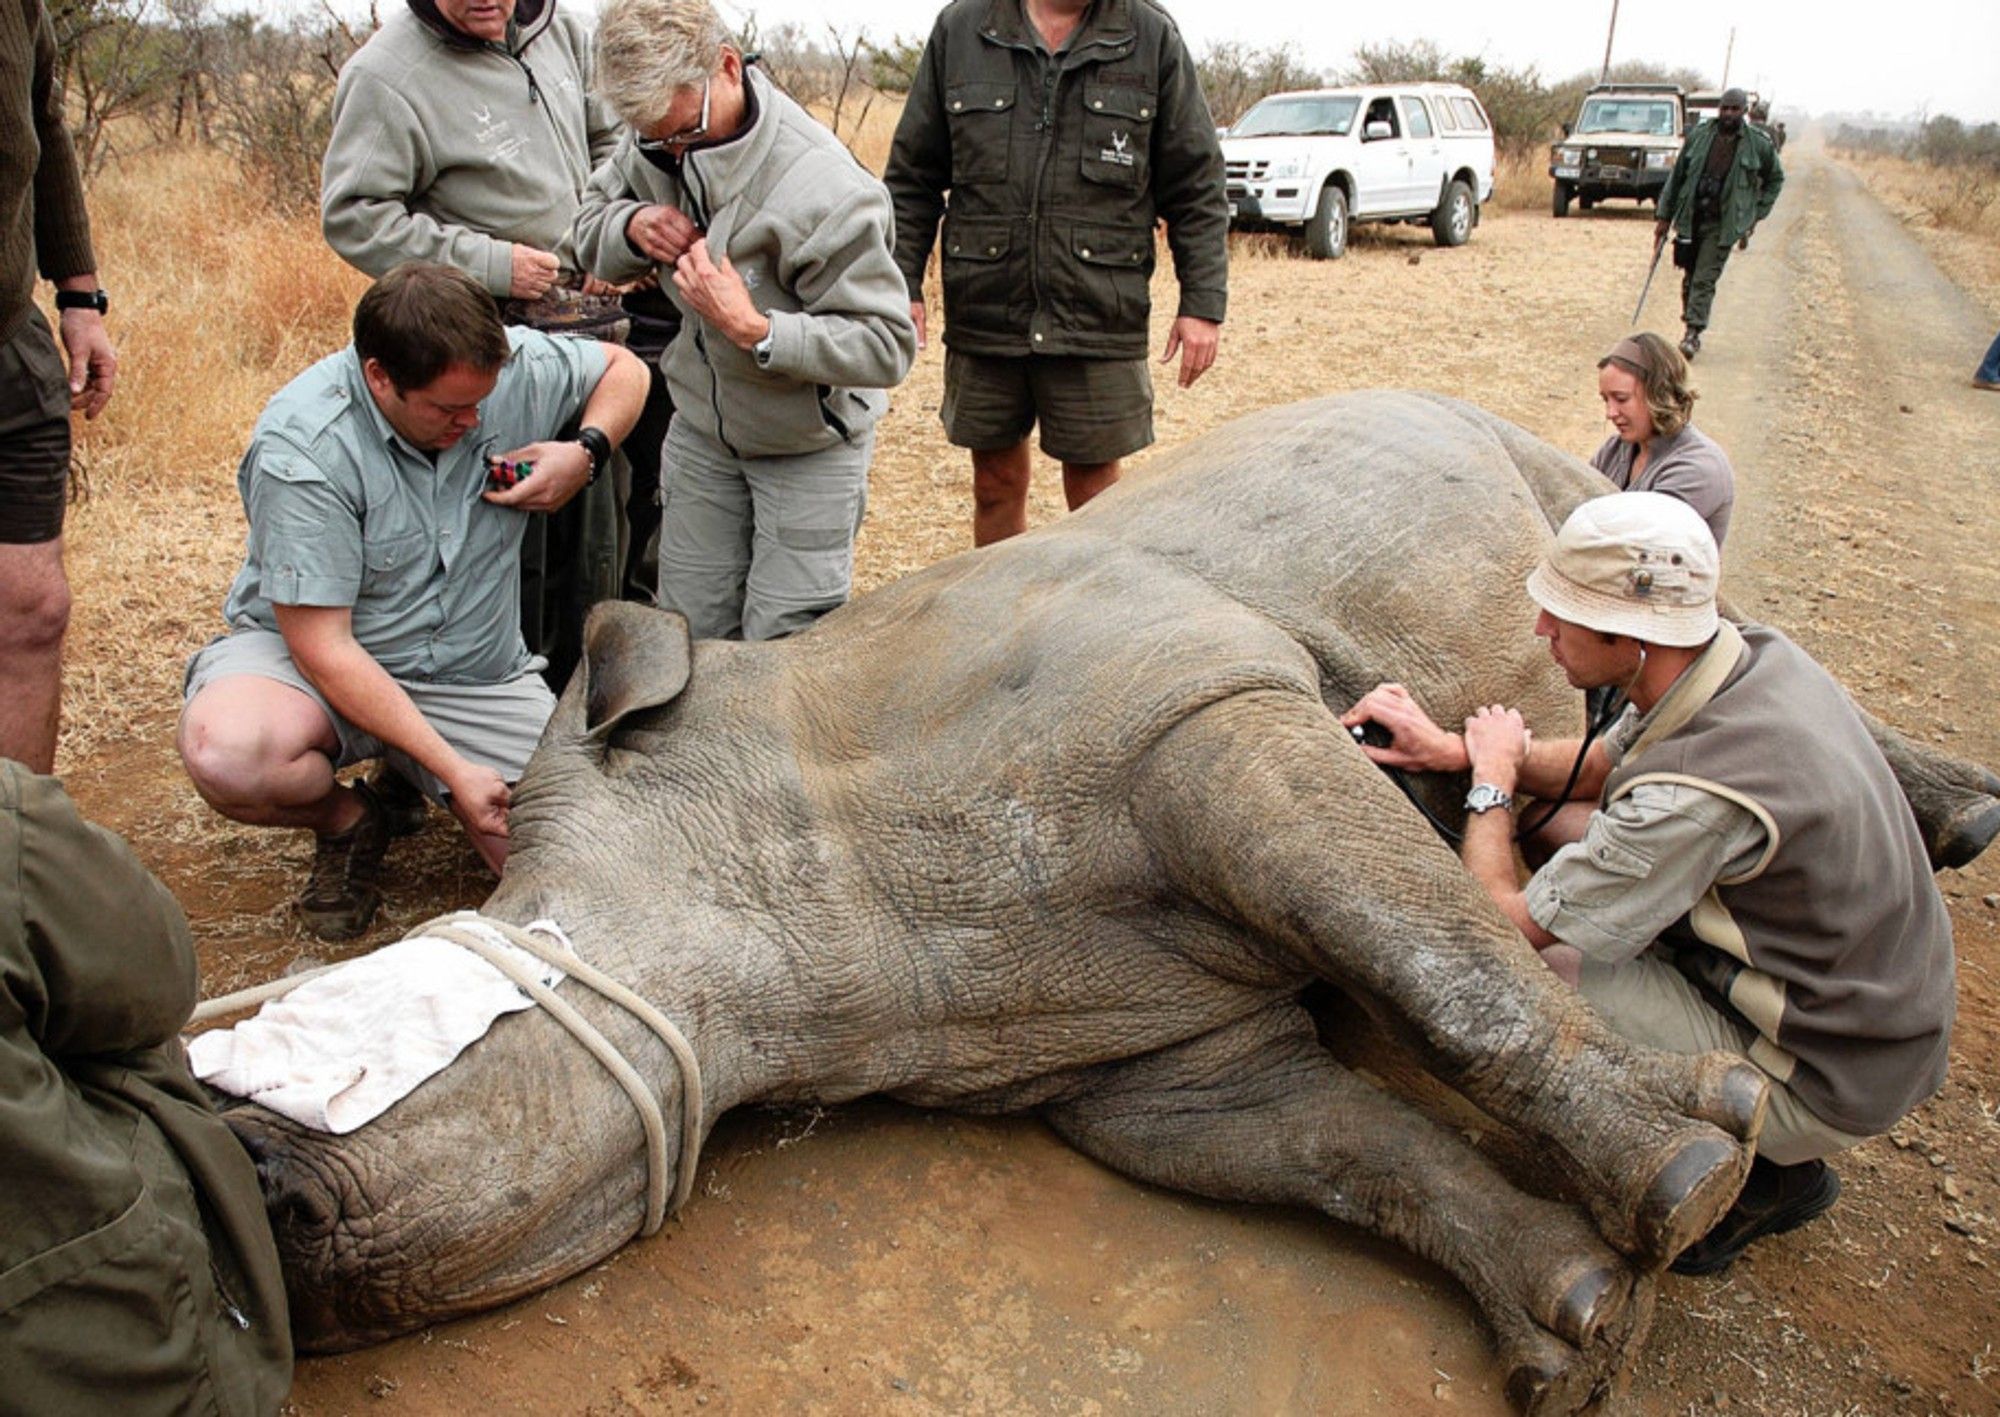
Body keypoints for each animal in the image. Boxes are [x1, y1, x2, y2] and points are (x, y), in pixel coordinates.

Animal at [225, 391, 1996, 1413]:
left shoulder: (1197, 715)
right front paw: (1574, 1321)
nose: (248, 1191)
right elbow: (1353, 1150)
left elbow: (1445, 965)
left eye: (344, 1068)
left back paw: (1956, 825)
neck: (791, 874)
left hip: (1538, 464)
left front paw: (1696, 1173)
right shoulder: (1130, 1062)